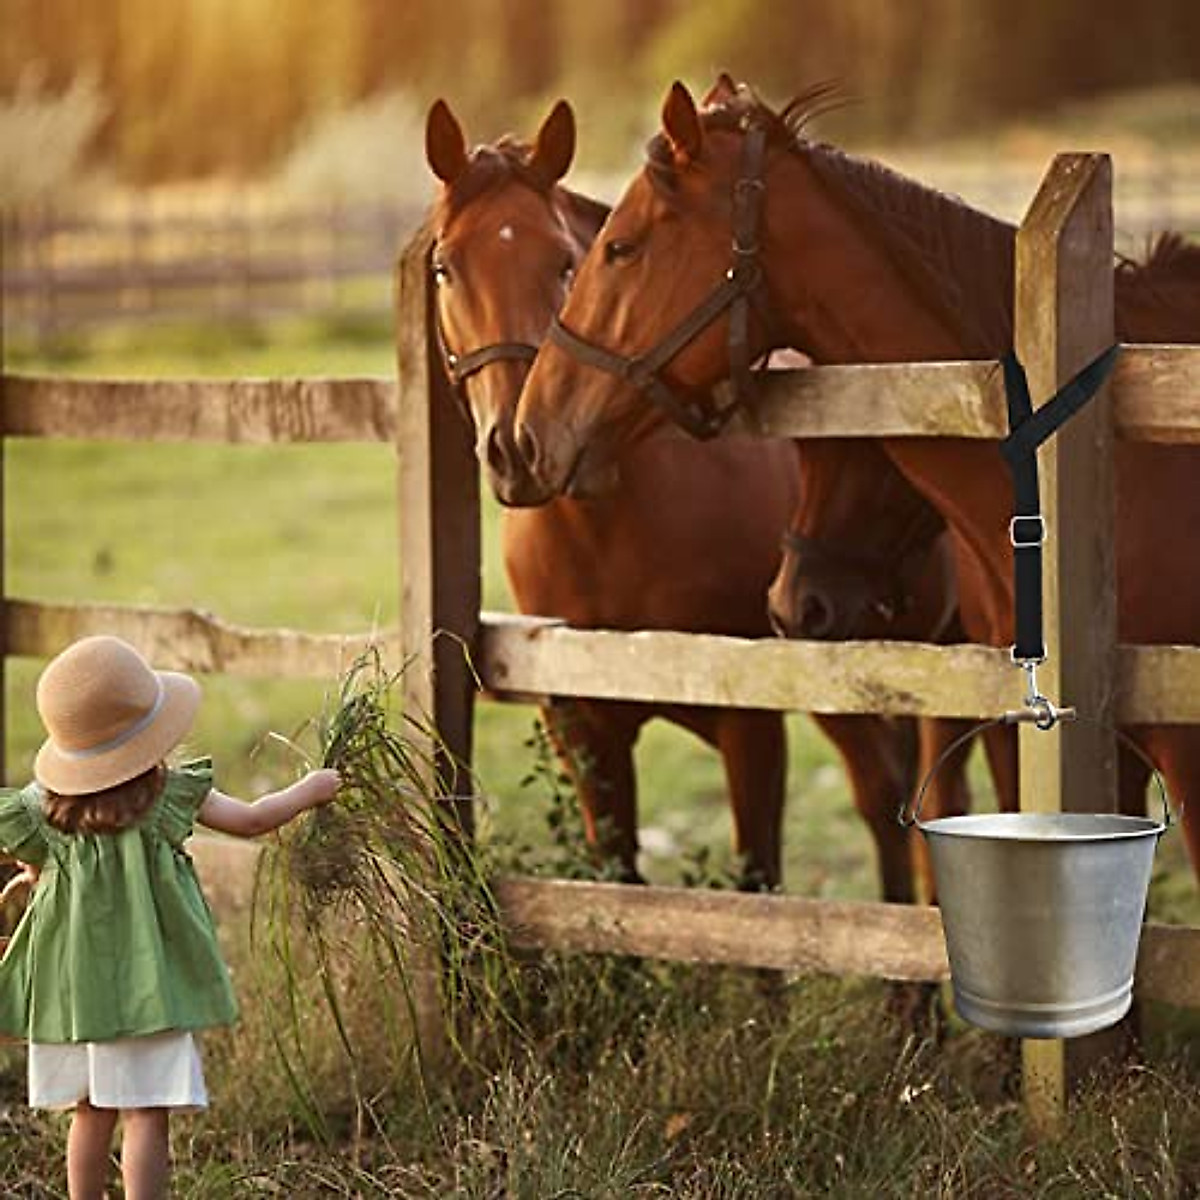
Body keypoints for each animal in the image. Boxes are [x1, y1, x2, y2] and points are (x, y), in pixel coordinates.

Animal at [425, 97, 967, 903]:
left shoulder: (750, 725)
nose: (519, 449)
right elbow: (615, 872)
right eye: (444, 267)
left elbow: (755, 882)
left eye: (565, 261)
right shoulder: (583, 728)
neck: (606, 532)